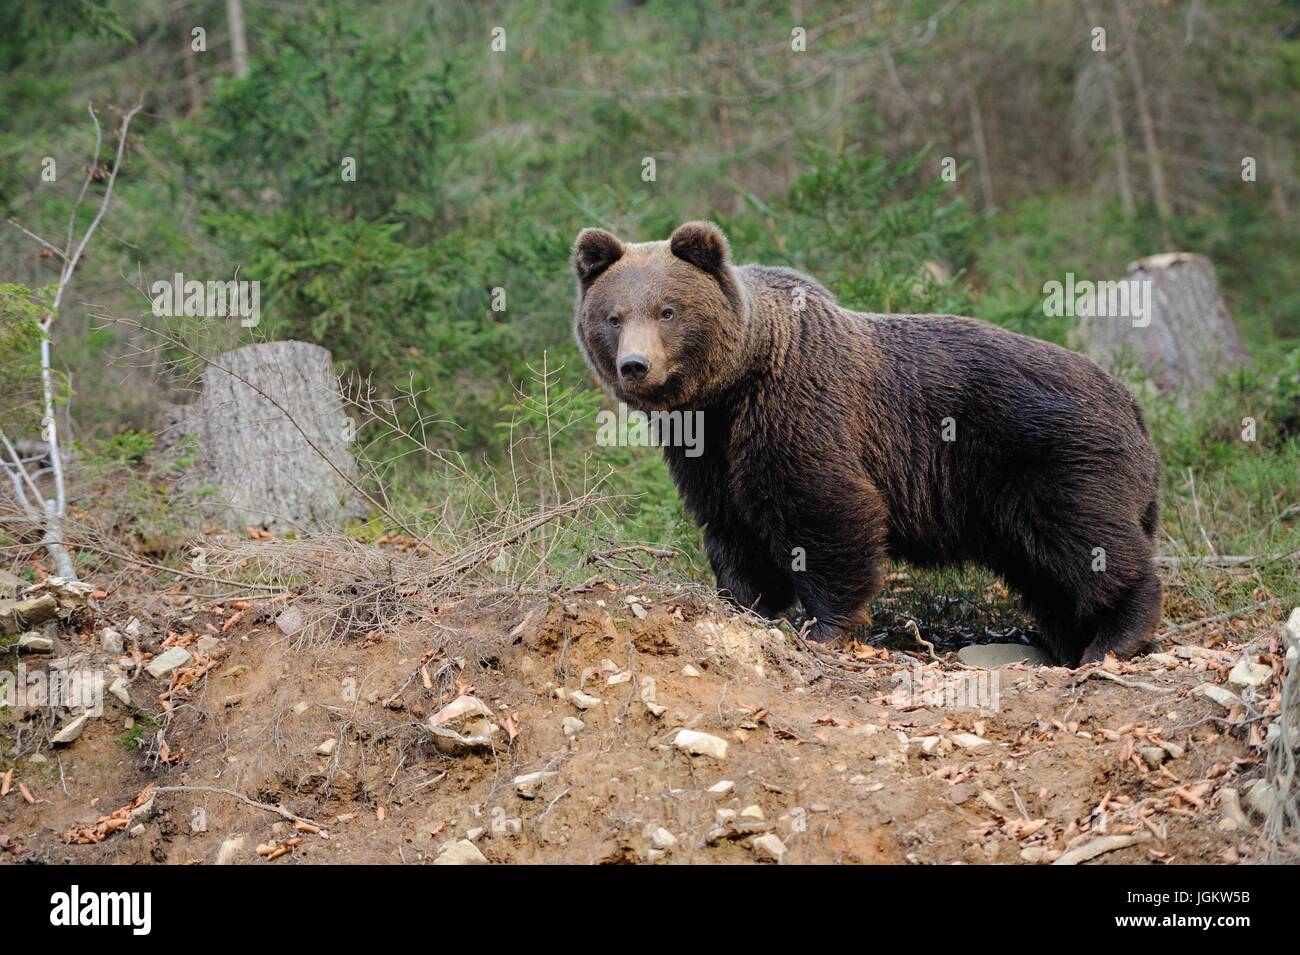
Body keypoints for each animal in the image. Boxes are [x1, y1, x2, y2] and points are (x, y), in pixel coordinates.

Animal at [572, 220, 1162, 666]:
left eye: (667, 310)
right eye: (613, 316)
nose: (635, 365)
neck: (733, 385)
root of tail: (1130, 401)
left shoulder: (800, 409)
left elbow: (824, 510)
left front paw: (825, 627)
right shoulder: (706, 448)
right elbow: (731, 525)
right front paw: (743, 603)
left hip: (1054, 453)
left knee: (1086, 539)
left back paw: (1115, 636)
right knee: (1043, 572)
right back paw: (1071, 639)